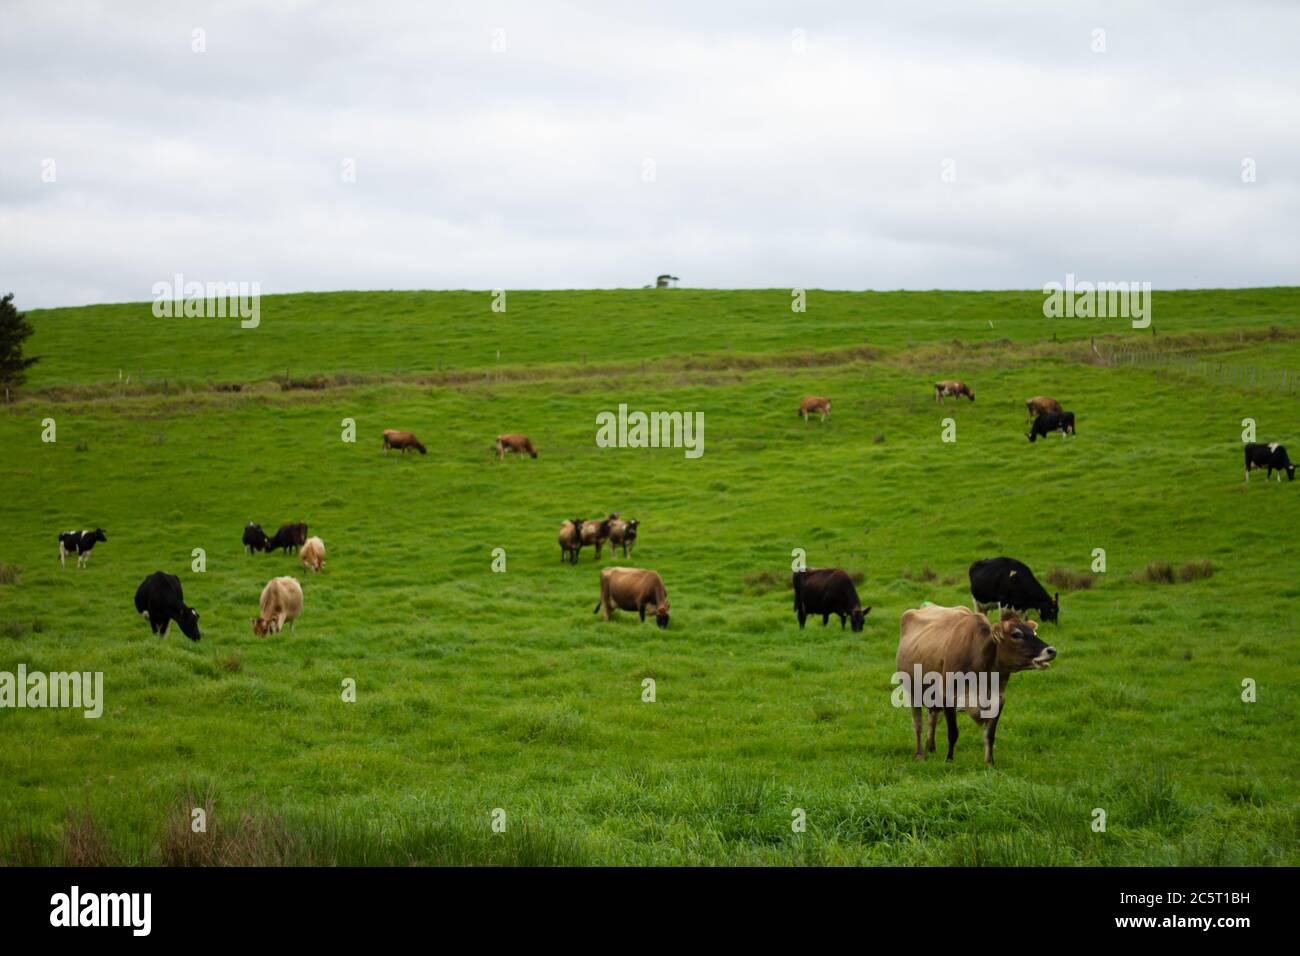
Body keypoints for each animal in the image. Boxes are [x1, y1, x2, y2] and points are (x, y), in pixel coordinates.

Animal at [896, 604, 1056, 765]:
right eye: (1016, 634)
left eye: (1034, 632)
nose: (1051, 651)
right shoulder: (948, 696)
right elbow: (953, 732)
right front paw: (949, 759)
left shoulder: (999, 699)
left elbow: (989, 735)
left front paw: (989, 762)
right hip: (913, 692)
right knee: (918, 724)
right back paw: (919, 753)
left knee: (932, 717)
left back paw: (931, 747)